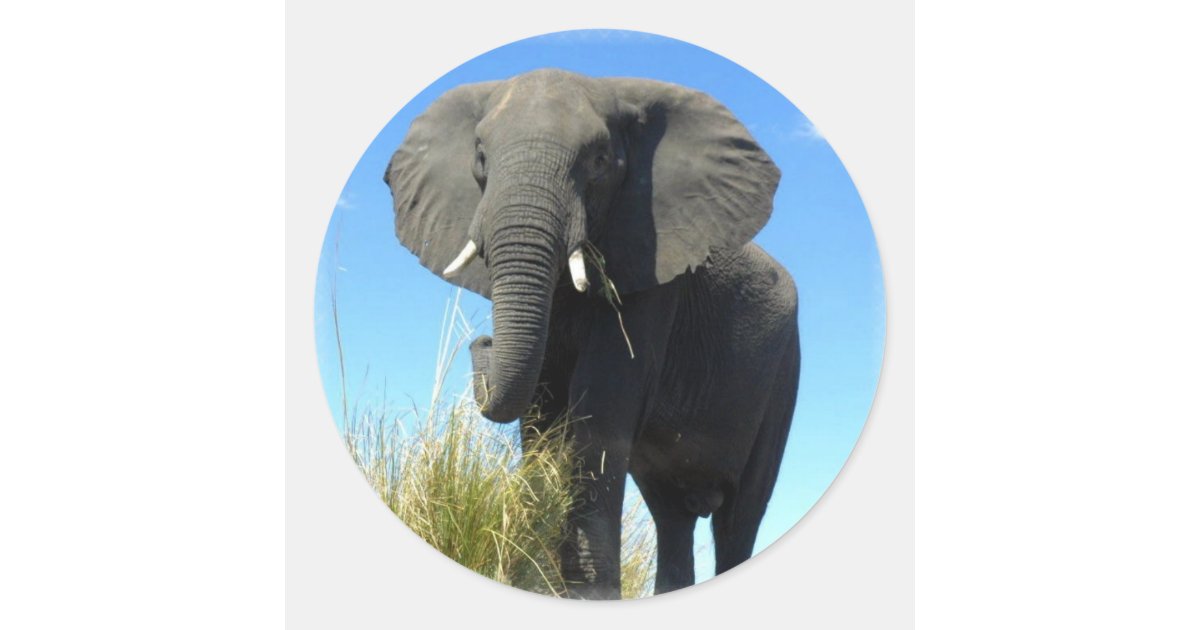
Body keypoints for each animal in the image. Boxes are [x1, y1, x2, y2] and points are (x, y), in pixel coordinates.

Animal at [384, 69, 800, 599]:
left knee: (739, 516)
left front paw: (588, 595)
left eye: (600, 162)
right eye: (480, 158)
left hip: (783, 370)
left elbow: (600, 405)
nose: (482, 341)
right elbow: (541, 411)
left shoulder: (653, 270)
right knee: (672, 515)